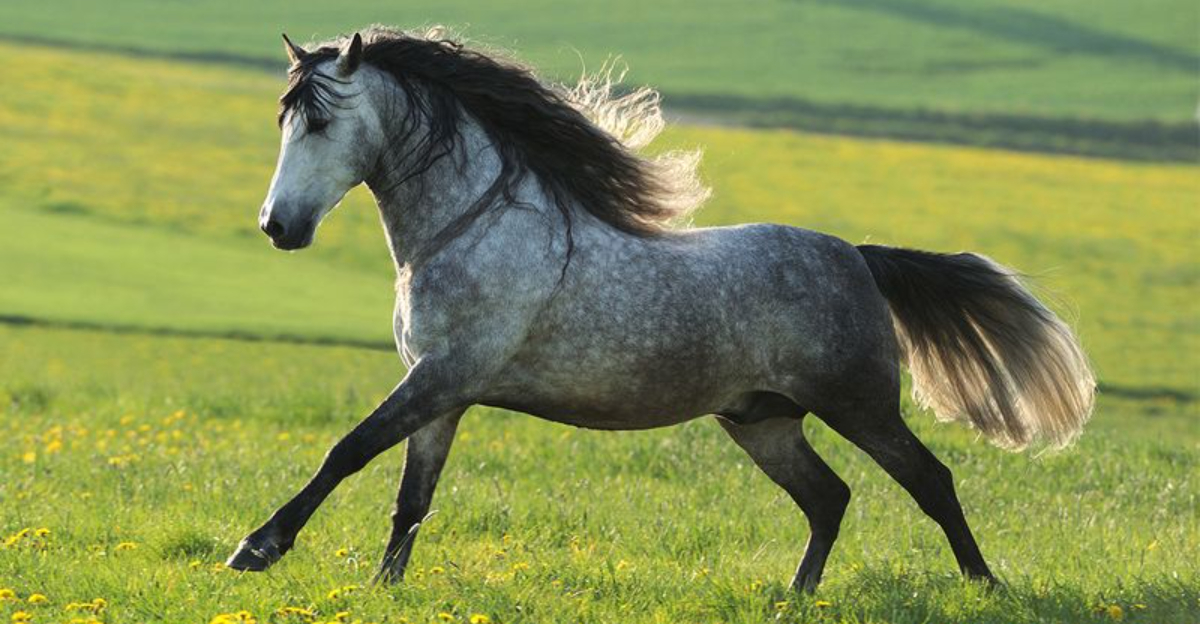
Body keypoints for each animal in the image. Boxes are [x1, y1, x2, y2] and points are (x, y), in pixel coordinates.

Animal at [226, 26, 1095, 591]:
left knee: (930, 481)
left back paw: (985, 585)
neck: (470, 226)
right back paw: (795, 596)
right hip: (761, 421)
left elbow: (346, 450)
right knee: (830, 498)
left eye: (322, 120)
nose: (278, 227)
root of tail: (856, 256)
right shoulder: (443, 394)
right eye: (284, 120)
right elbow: (410, 498)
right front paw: (384, 587)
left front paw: (258, 547)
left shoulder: (444, 377)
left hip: (858, 405)